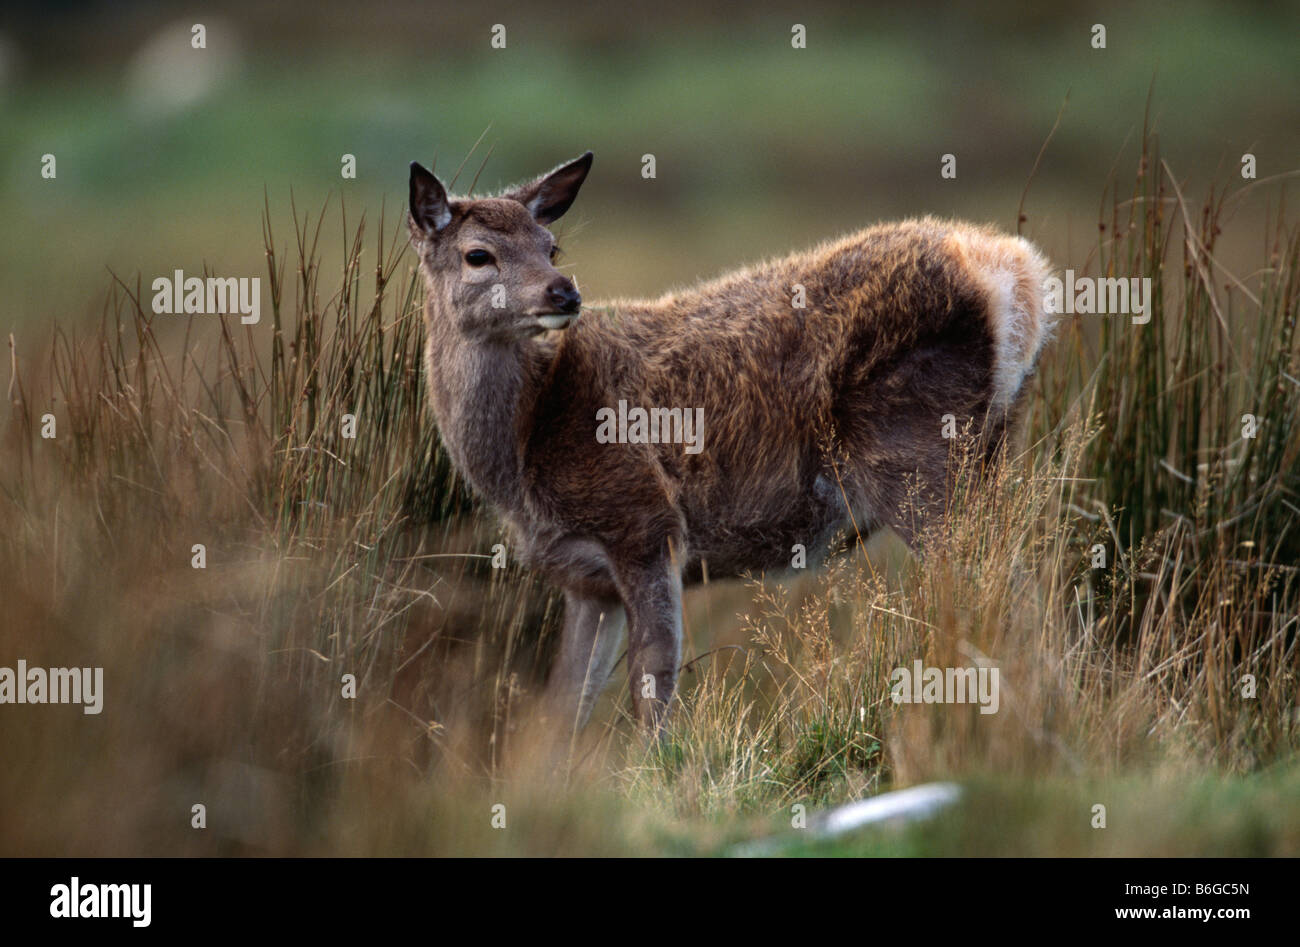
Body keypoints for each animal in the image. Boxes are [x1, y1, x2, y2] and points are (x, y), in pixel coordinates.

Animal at [407, 151, 1052, 736]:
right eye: (478, 254)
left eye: (550, 246)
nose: (564, 293)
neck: (525, 448)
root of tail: (1012, 271)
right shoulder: (584, 578)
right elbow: (565, 707)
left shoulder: (644, 522)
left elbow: (652, 680)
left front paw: (654, 774)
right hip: (990, 444)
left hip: (917, 453)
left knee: (1009, 588)